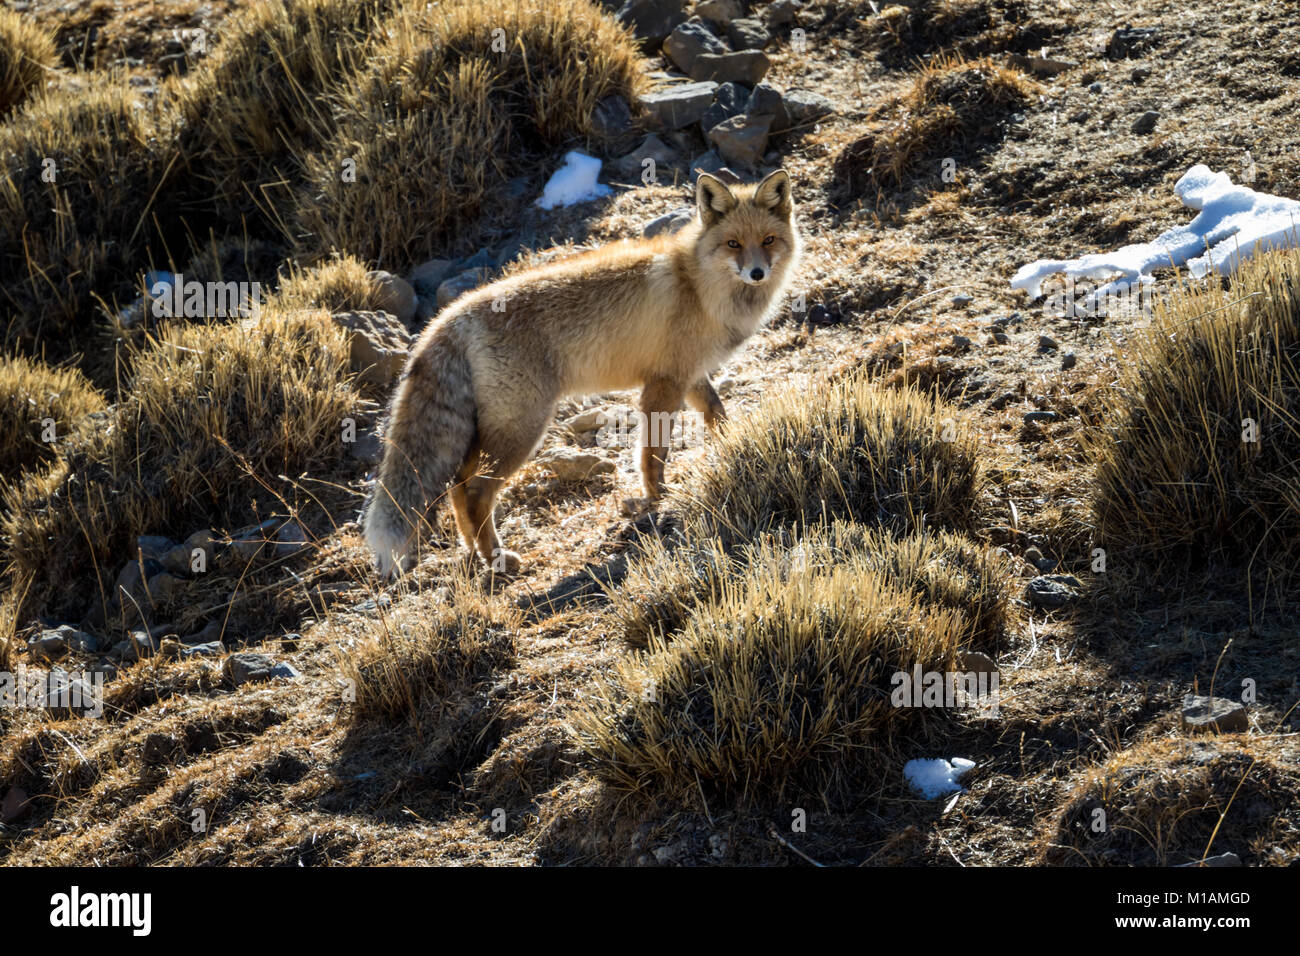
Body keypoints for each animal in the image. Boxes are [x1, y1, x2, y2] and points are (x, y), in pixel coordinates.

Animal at [362, 168, 802, 578]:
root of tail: (449, 316)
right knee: (475, 492)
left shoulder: (688, 375)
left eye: (768, 240)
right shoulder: (663, 384)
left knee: (457, 486)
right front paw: (656, 499)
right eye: (733, 244)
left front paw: (733, 449)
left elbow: (718, 418)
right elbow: (652, 454)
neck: (699, 286)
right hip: (522, 430)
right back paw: (497, 559)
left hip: (489, 432)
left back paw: (474, 552)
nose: (757, 273)